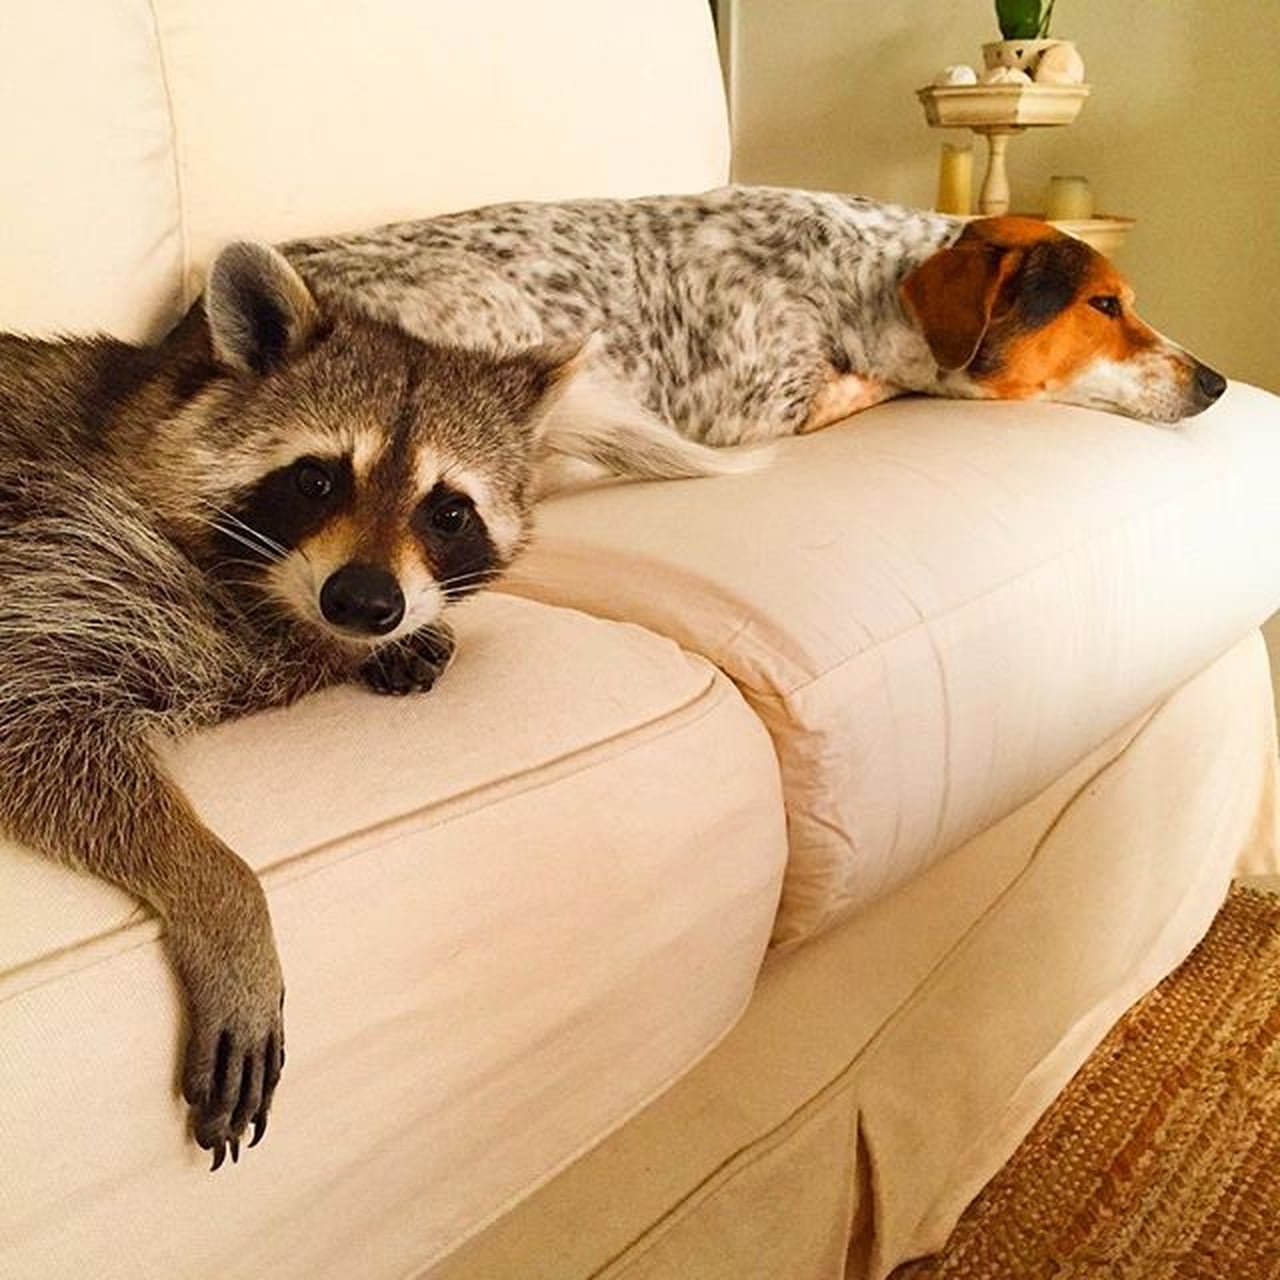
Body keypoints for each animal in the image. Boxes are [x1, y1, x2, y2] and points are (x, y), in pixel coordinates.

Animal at [0, 243, 579, 1169]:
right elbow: (34, 717)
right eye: (316, 480)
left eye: (448, 512)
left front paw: (401, 638)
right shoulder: (60, 542)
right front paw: (222, 894)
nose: (366, 603)